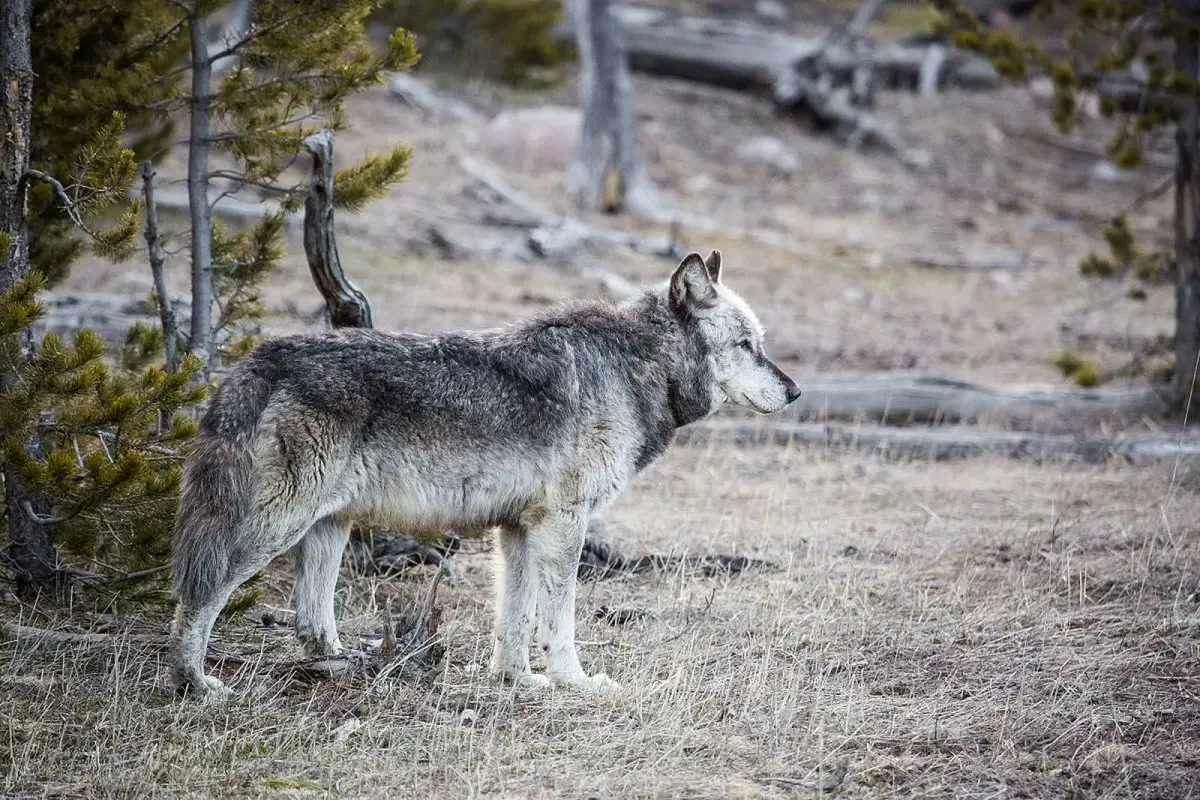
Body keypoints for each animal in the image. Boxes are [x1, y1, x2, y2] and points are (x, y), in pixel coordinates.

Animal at [168, 249, 800, 697]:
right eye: (747, 345)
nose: (795, 392)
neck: (637, 365)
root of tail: (256, 360)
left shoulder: (517, 528)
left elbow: (513, 620)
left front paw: (517, 680)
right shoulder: (563, 524)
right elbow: (558, 619)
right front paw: (575, 683)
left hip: (328, 528)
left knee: (309, 623)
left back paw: (348, 667)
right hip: (276, 528)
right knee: (200, 593)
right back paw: (194, 684)